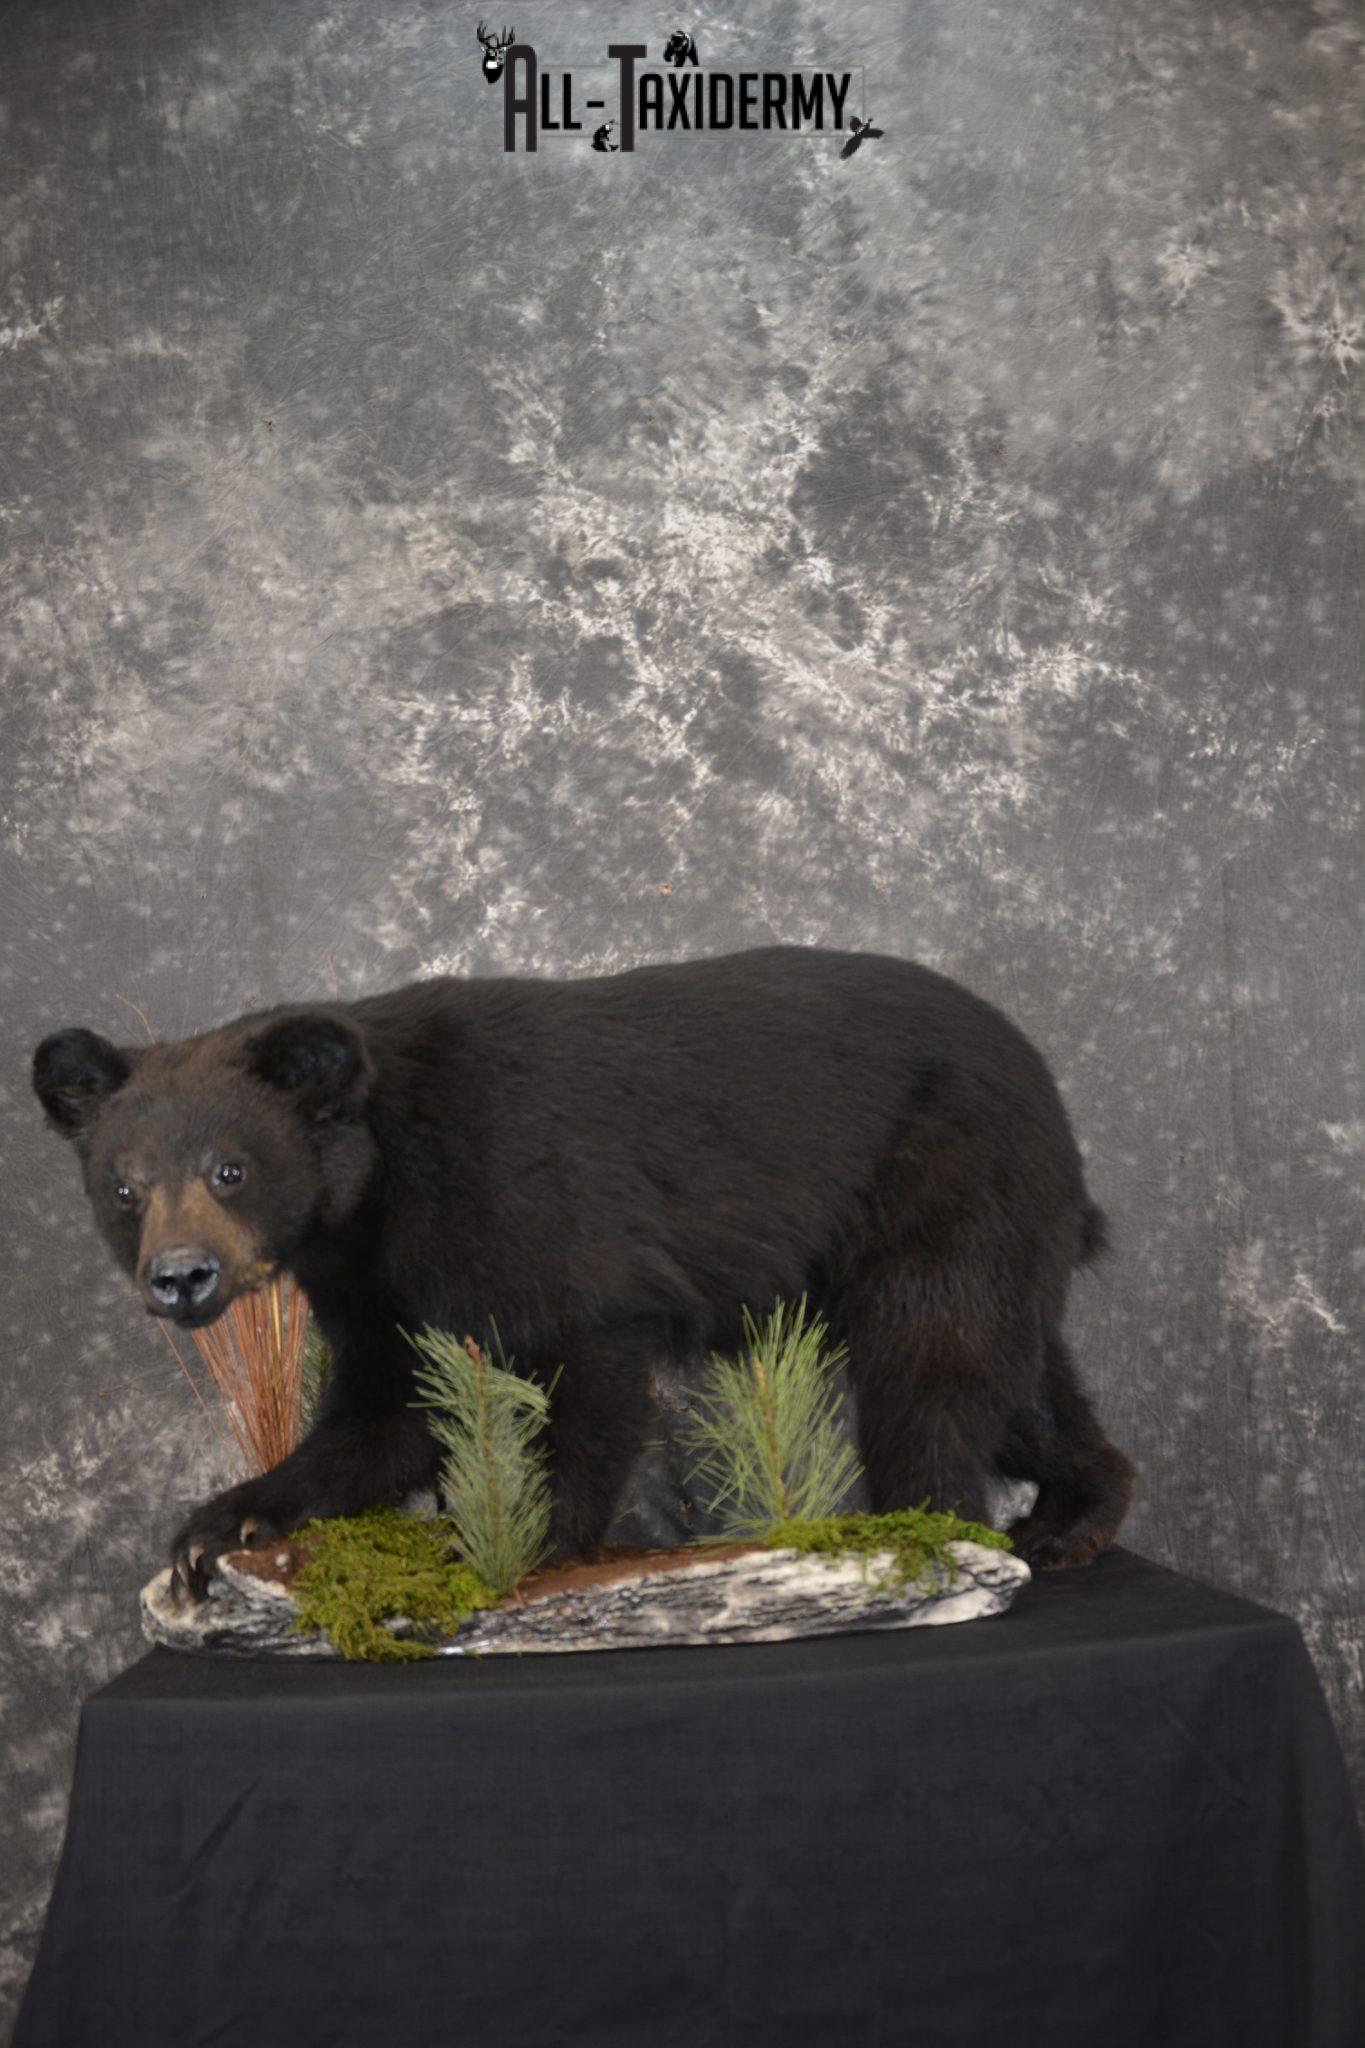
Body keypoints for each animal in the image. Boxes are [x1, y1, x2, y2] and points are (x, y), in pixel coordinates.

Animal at [31, 944, 1135, 1601]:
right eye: (125, 1186)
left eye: (230, 1168)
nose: (180, 1276)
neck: (379, 1183)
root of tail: (1048, 1089)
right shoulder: (374, 1283)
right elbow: (385, 1410)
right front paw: (218, 1525)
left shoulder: (523, 1197)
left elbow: (590, 1359)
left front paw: (520, 1546)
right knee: (1016, 1370)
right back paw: (1071, 1516)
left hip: (948, 1174)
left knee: (933, 1355)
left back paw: (929, 1532)